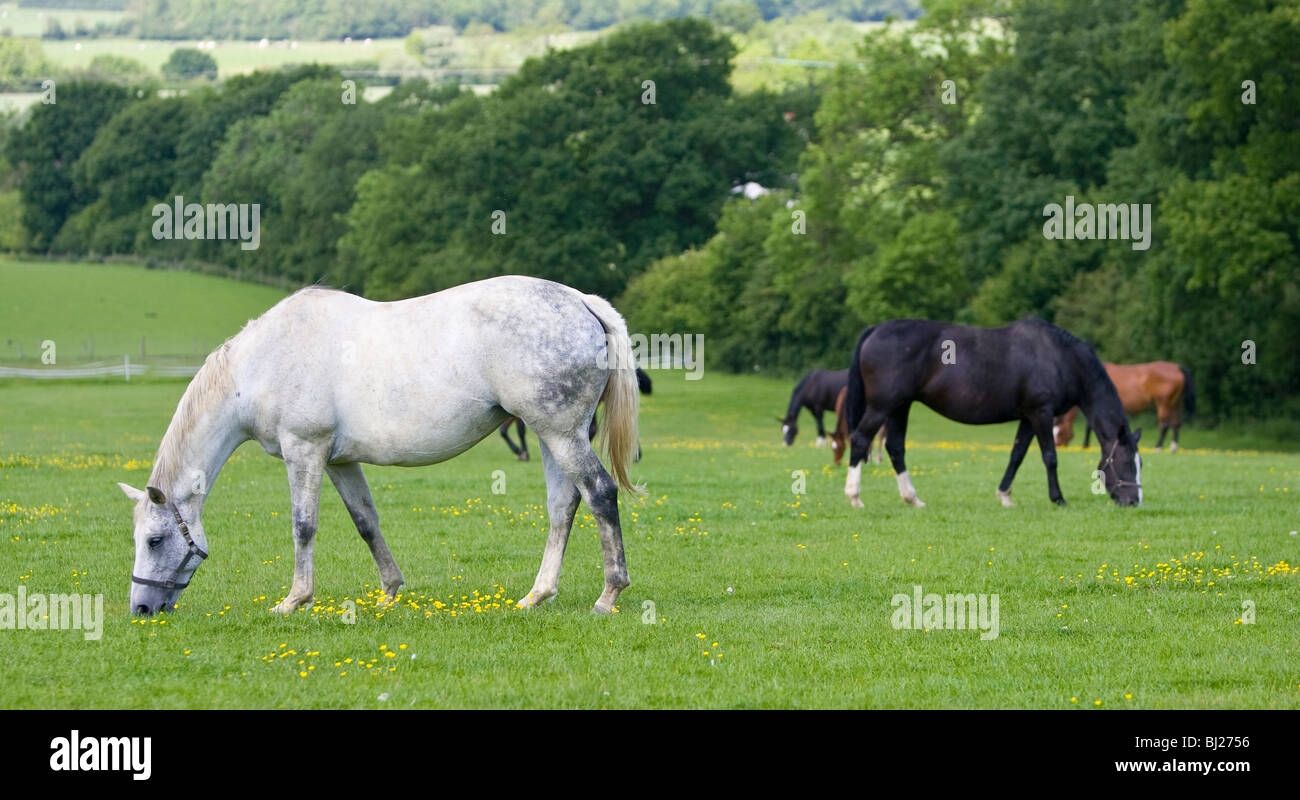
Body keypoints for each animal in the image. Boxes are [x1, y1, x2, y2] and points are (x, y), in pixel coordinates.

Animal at [842, 318, 1142, 509]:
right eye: (1127, 461)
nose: (1134, 501)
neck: (1059, 357)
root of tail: (875, 329)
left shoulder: (1028, 417)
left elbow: (1017, 455)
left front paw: (1005, 495)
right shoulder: (1041, 413)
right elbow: (1050, 457)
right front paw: (1058, 498)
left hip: (900, 406)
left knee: (895, 447)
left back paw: (912, 499)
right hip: (882, 406)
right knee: (860, 439)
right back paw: (855, 497)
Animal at [1053, 361, 1194, 452]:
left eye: (1060, 432)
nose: (1057, 445)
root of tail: (1177, 367)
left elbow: (1089, 426)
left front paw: (1085, 445)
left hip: (1163, 403)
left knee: (1164, 425)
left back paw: (1158, 447)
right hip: (1174, 403)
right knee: (1176, 424)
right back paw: (1173, 448)